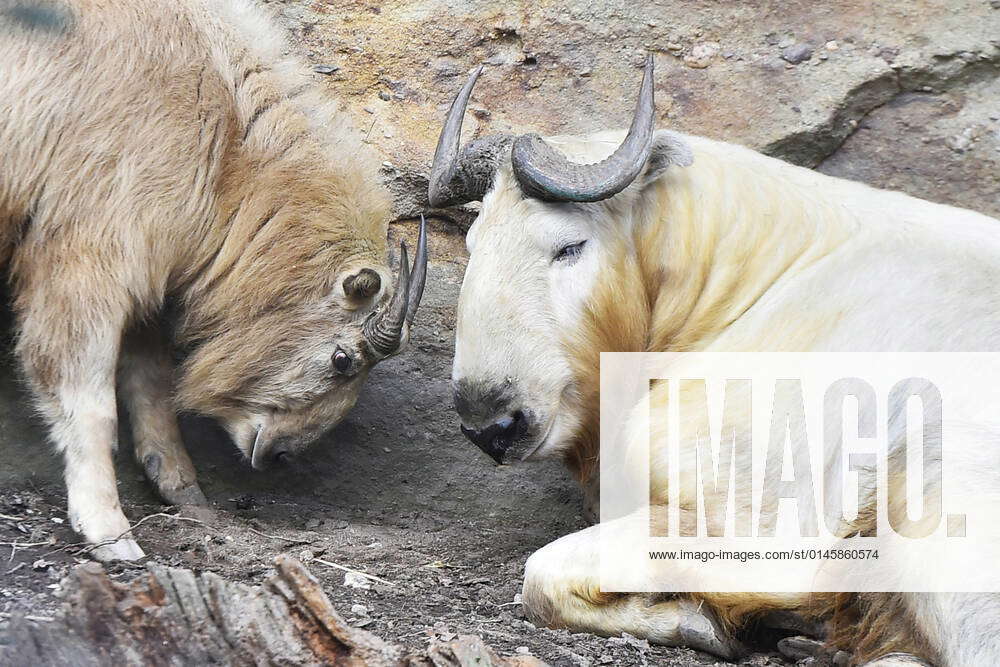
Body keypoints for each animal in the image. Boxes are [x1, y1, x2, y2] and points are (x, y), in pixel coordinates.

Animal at [0, 0, 426, 561]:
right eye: (343, 361)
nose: (280, 453)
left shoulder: (146, 273)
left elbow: (152, 385)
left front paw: (186, 494)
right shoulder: (87, 257)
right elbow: (89, 402)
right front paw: (108, 529)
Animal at [430, 55, 1000, 666]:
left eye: (569, 246)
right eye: (471, 245)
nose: (492, 426)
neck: (769, 268)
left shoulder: (765, 512)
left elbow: (543, 575)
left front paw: (710, 621)